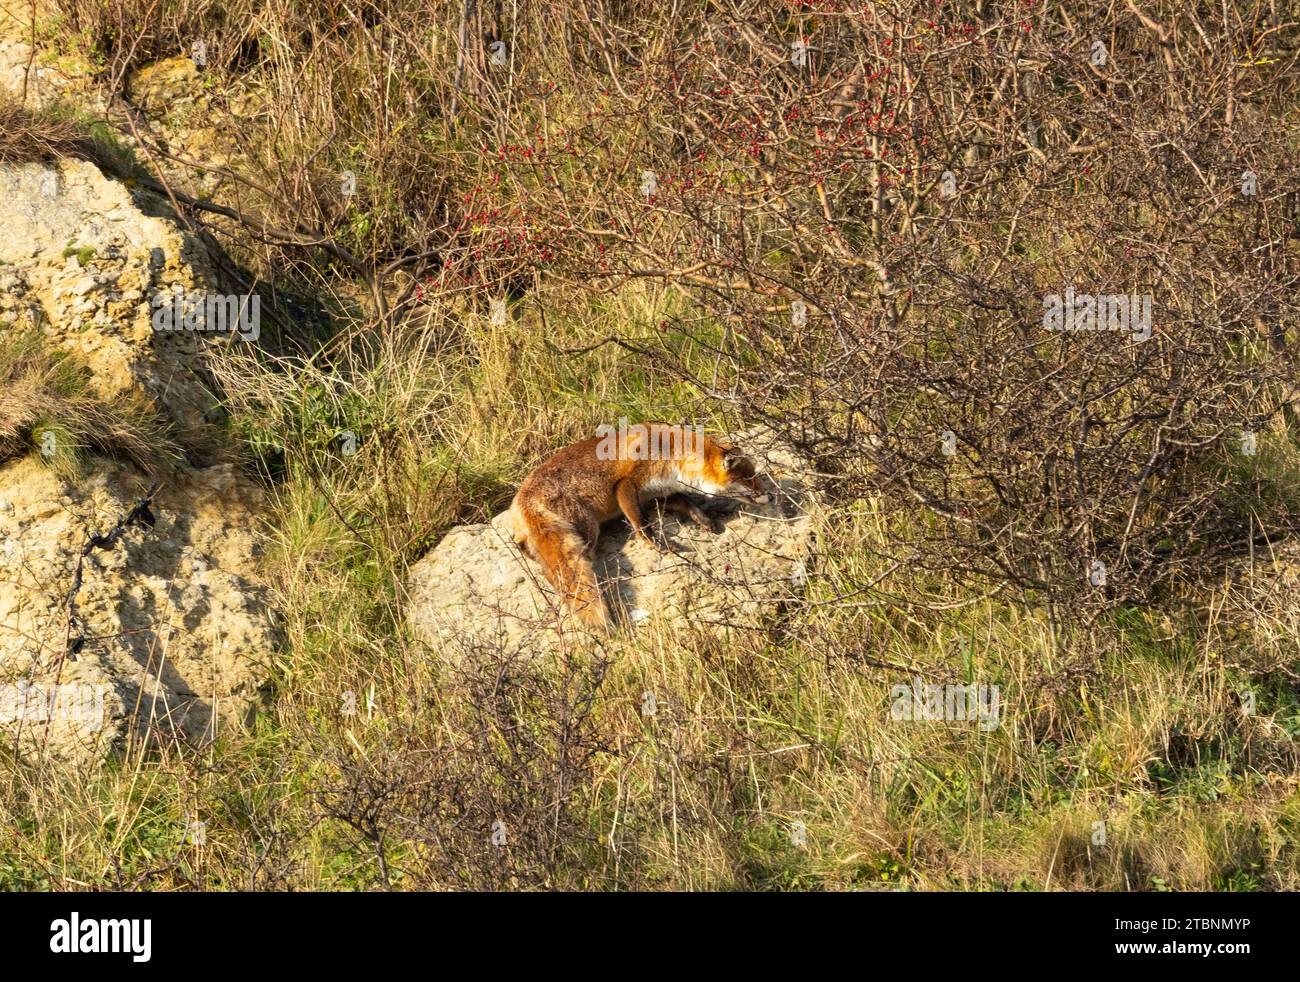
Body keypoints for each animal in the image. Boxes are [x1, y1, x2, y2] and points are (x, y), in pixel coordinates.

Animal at [508, 424, 768, 630]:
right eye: (749, 479)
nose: (770, 495)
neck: (668, 452)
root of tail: (522, 502)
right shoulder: (626, 485)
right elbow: (642, 525)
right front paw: (661, 546)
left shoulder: (655, 494)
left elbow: (687, 501)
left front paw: (704, 520)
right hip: (587, 532)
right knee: (562, 573)